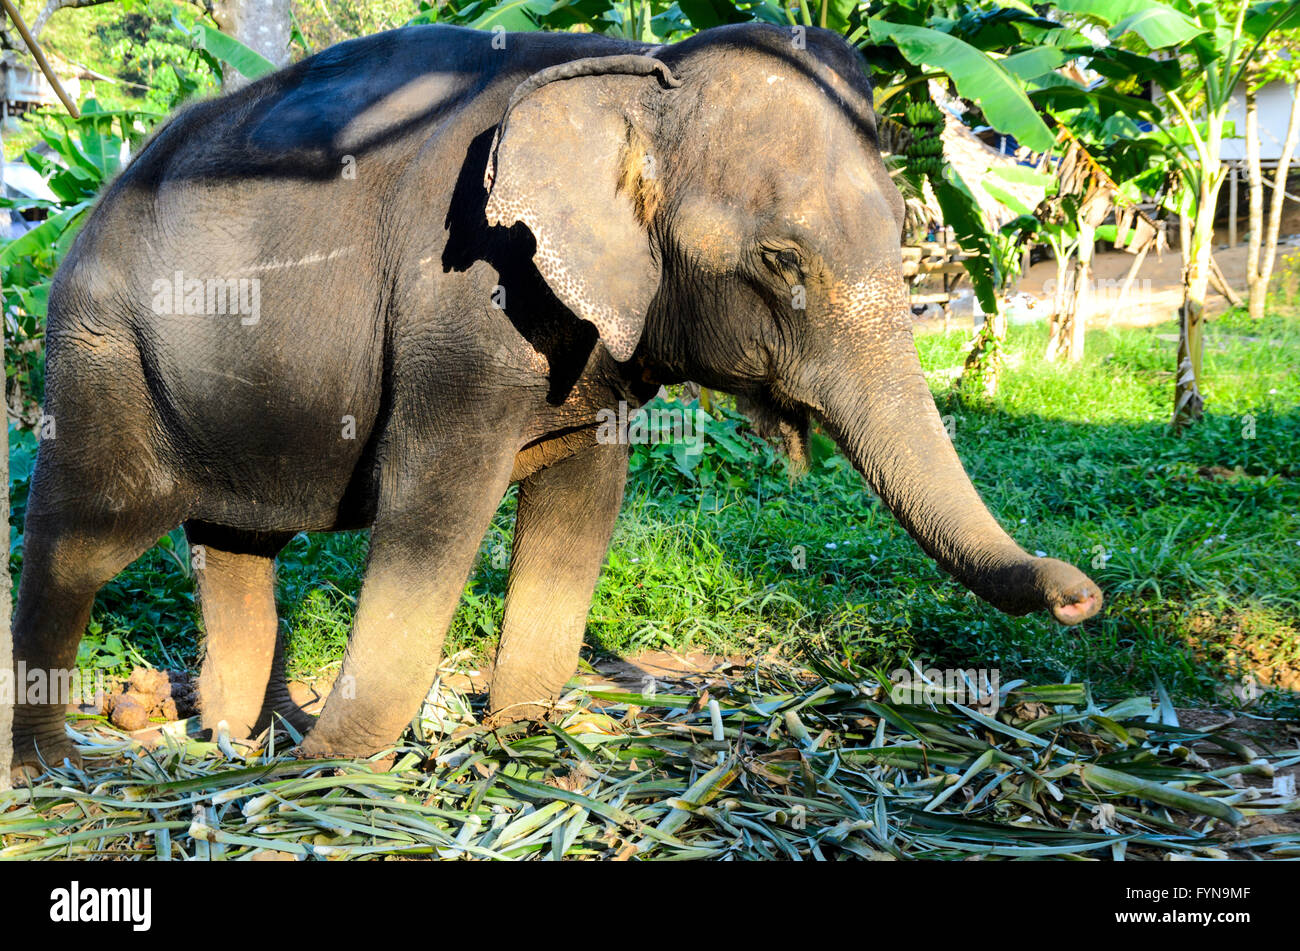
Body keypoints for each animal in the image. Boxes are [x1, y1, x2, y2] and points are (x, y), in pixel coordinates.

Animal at [9, 21, 1102, 777]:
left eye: (904, 229)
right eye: (780, 261)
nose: (1083, 596)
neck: (636, 69)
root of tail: (92, 203)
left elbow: (583, 501)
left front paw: (518, 737)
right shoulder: (461, 305)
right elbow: (434, 505)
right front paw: (338, 766)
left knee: (238, 549)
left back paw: (234, 751)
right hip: (100, 356)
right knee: (77, 541)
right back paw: (59, 768)